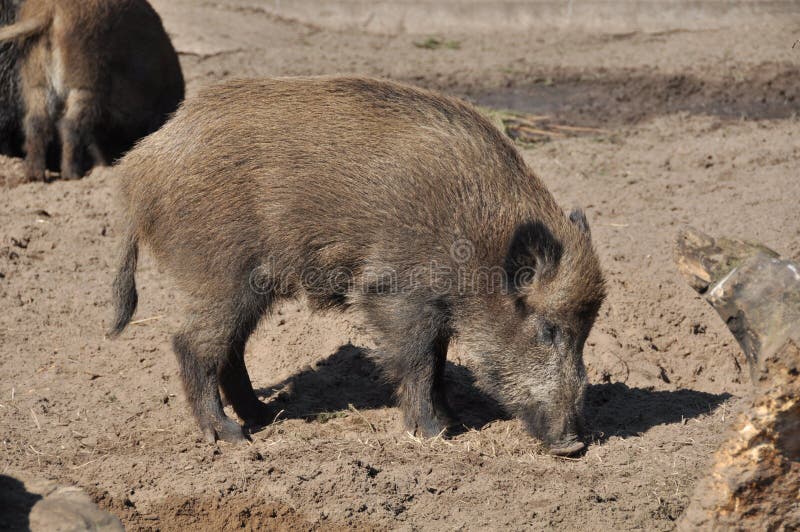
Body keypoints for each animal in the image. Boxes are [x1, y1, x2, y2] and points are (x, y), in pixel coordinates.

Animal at [0, 0, 184, 181]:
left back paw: (35, 176)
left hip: (36, 79)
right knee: (69, 124)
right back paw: (73, 176)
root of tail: (50, 10)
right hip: (86, 79)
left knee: (36, 121)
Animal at [109, 77, 606, 456]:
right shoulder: (396, 291)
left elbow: (438, 362)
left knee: (229, 351)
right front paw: (435, 433)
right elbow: (419, 361)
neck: (478, 236)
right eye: (547, 328)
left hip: (248, 286)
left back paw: (266, 416)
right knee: (190, 344)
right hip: (218, 274)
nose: (574, 445)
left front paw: (450, 421)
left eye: (586, 332)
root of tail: (139, 168)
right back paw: (231, 436)